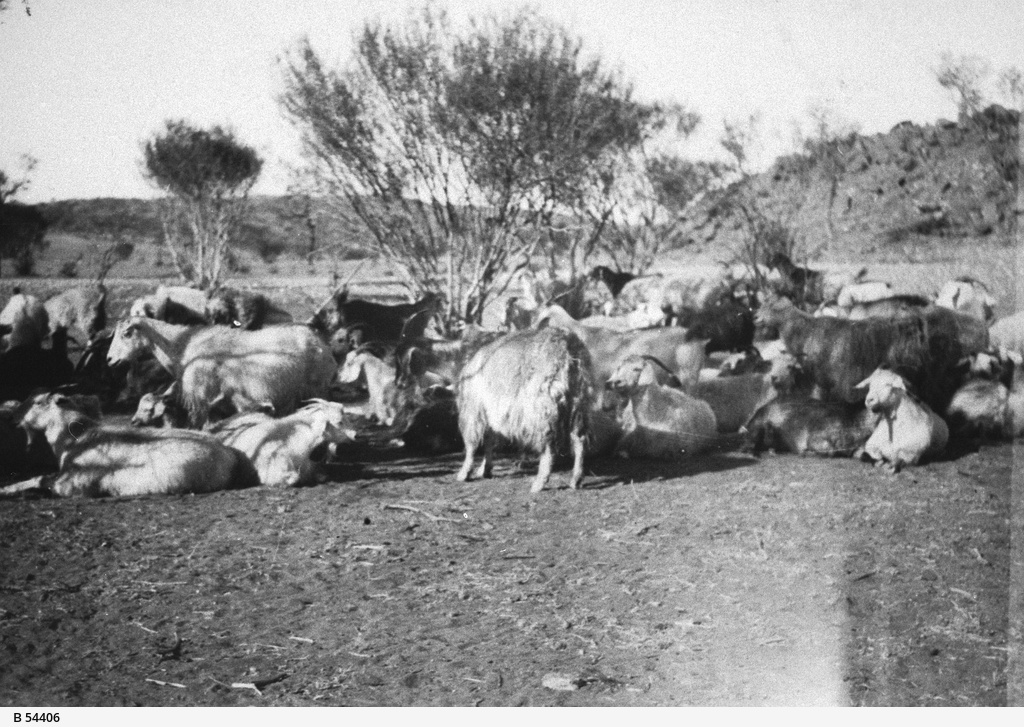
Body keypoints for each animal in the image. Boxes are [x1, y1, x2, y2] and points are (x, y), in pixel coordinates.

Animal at [1, 393, 259, 497]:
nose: (12, 416)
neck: (74, 438)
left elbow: (39, 479)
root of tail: (229, 454)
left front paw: (7, 489)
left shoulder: (72, 485)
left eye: (37, 402)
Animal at [106, 317, 337, 428]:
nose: (109, 359)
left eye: (127, 333)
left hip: (317, 388)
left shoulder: (199, 400)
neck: (184, 347)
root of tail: (321, 342)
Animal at [455, 328, 592, 493]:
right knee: (579, 439)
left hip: (542, 406)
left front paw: (465, 473)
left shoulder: (474, 410)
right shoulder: (491, 414)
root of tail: (566, 349)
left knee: (549, 446)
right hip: (578, 404)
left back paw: (539, 483)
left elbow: (472, 444)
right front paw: (485, 469)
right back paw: (576, 480)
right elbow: (489, 440)